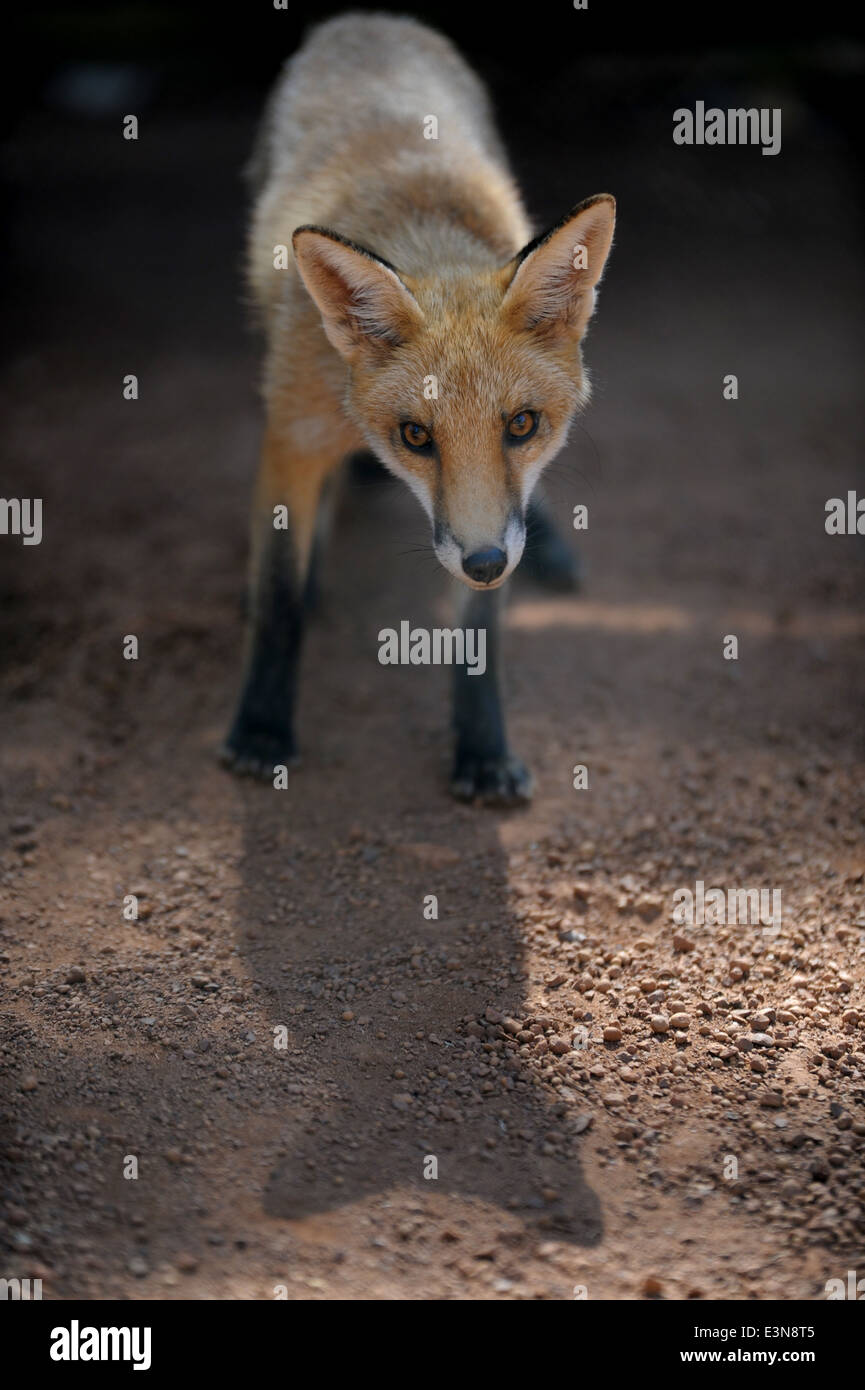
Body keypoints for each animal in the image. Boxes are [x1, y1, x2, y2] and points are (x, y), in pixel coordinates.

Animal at [222, 11, 615, 806]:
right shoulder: (292, 433)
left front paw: (483, 751)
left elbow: (480, 632)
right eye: (415, 435)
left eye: (522, 425)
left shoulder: (491, 520)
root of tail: (369, 19)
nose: (488, 563)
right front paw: (262, 729)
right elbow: (278, 601)